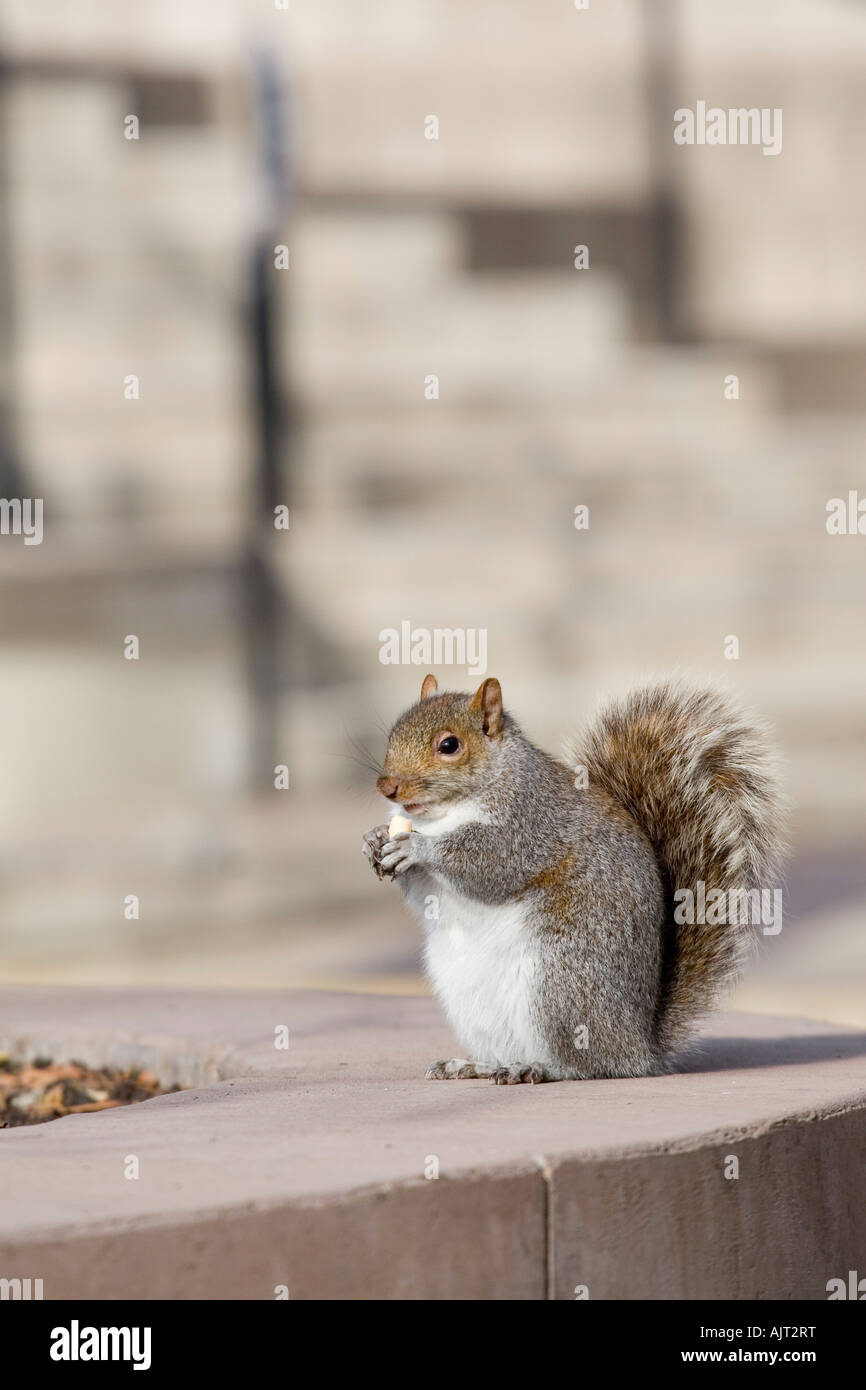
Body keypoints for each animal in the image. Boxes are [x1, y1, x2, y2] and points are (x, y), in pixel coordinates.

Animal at [362, 673, 786, 1083]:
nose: (387, 786)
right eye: (394, 733)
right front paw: (375, 840)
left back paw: (536, 1068)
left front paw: (418, 847)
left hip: (561, 981)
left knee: (588, 1064)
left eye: (449, 745)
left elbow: (490, 864)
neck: (442, 813)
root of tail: (640, 1046)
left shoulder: (529, 825)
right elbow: (424, 893)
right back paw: (474, 1066)